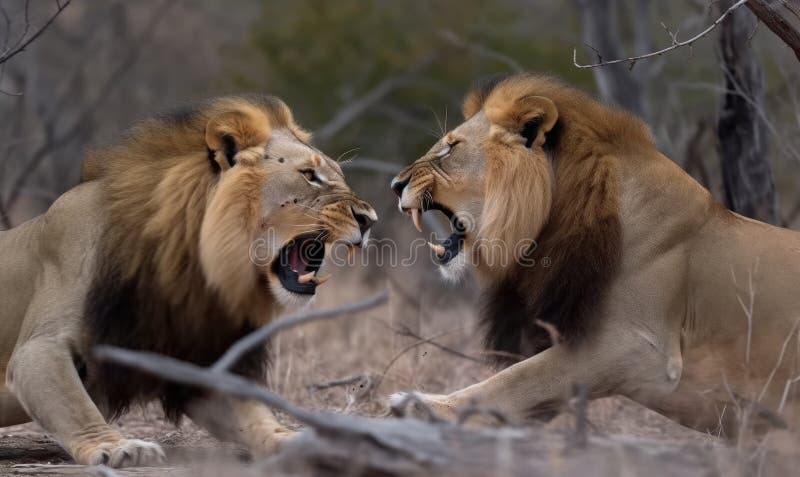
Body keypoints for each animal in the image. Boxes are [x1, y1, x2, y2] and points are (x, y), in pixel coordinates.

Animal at [0, 95, 377, 467]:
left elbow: (255, 417)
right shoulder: (41, 347)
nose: (369, 219)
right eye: (310, 175)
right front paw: (120, 447)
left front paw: (308, 441)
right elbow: (76, 406)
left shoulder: (197, 359)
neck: (191, 264)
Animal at [389, 73, 800, 437]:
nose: (395, 184)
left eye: (450, 147)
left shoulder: (642, 349)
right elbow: (526, 394)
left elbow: (519, 377)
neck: (556, 221)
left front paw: (421, 407)